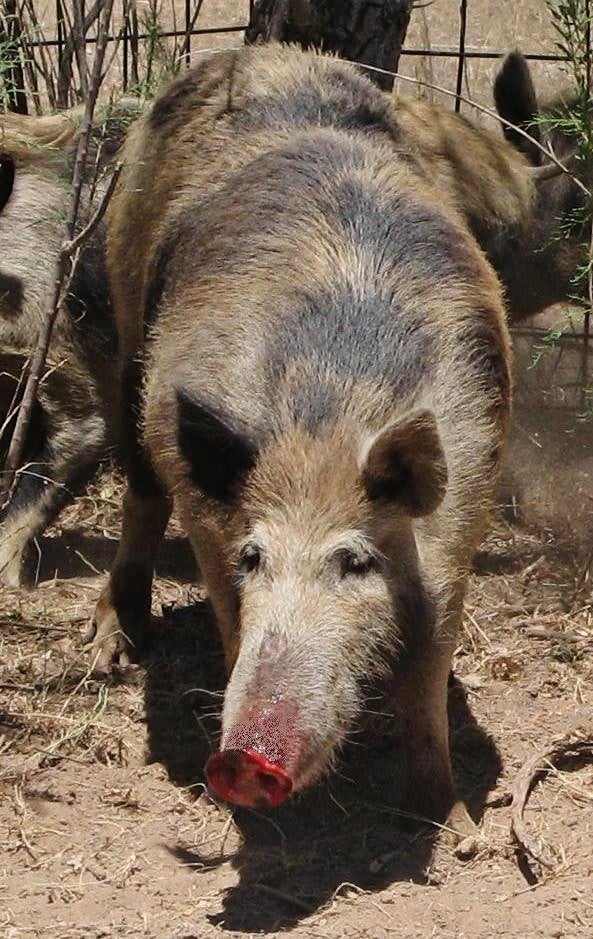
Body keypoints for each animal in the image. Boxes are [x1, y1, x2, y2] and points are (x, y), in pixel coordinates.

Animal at [88, 44, 511, 836]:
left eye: (356, 561)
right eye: (255, 556)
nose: (242, 762)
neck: (328, 416)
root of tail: (259, 53)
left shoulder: (464, 508)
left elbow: (428, 668)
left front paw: (452, 824)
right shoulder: (214, 530)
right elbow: (231, 623)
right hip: (127, 303)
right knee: (141, 489)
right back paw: (111, 653)